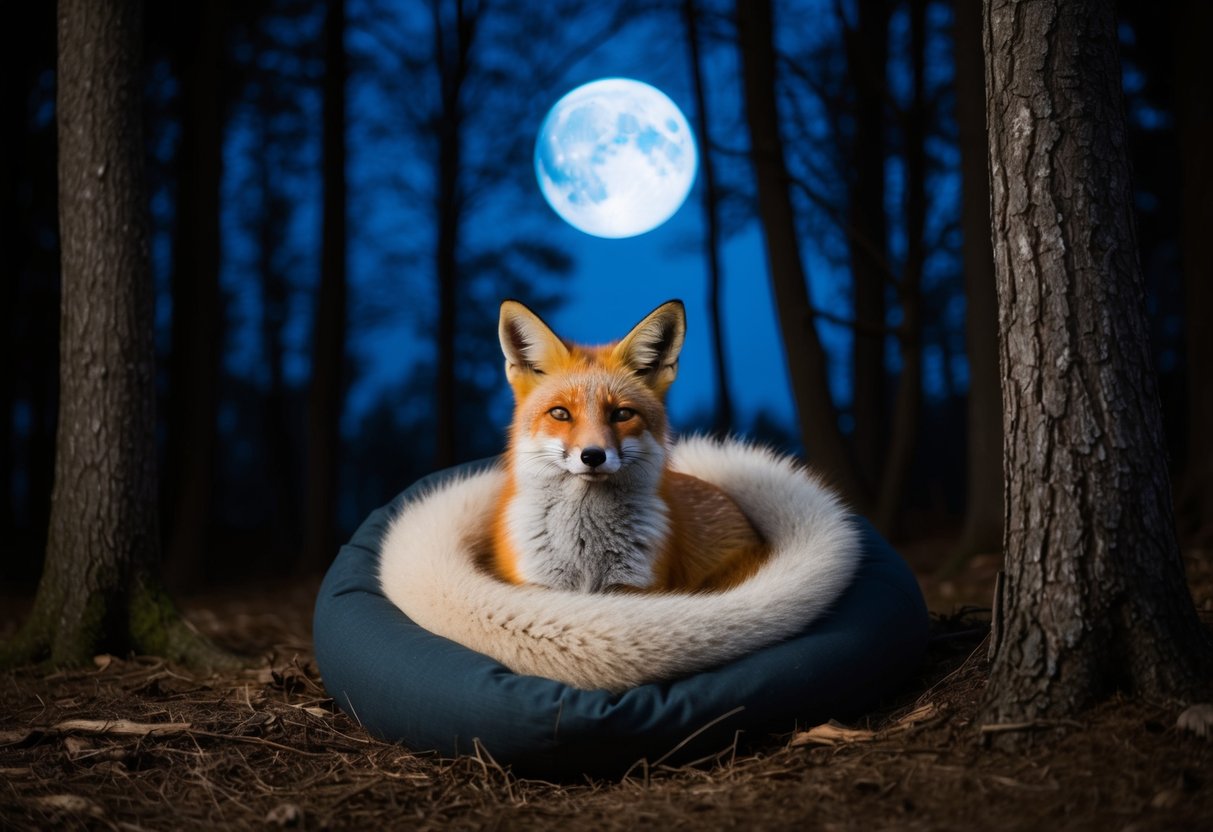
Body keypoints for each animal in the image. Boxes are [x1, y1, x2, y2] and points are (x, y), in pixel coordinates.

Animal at [490, 298, 769, 593]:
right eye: (560, 413)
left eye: (622, 414)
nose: (593, 456)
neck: (586, 554)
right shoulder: (539, 585)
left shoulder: (635, 588)